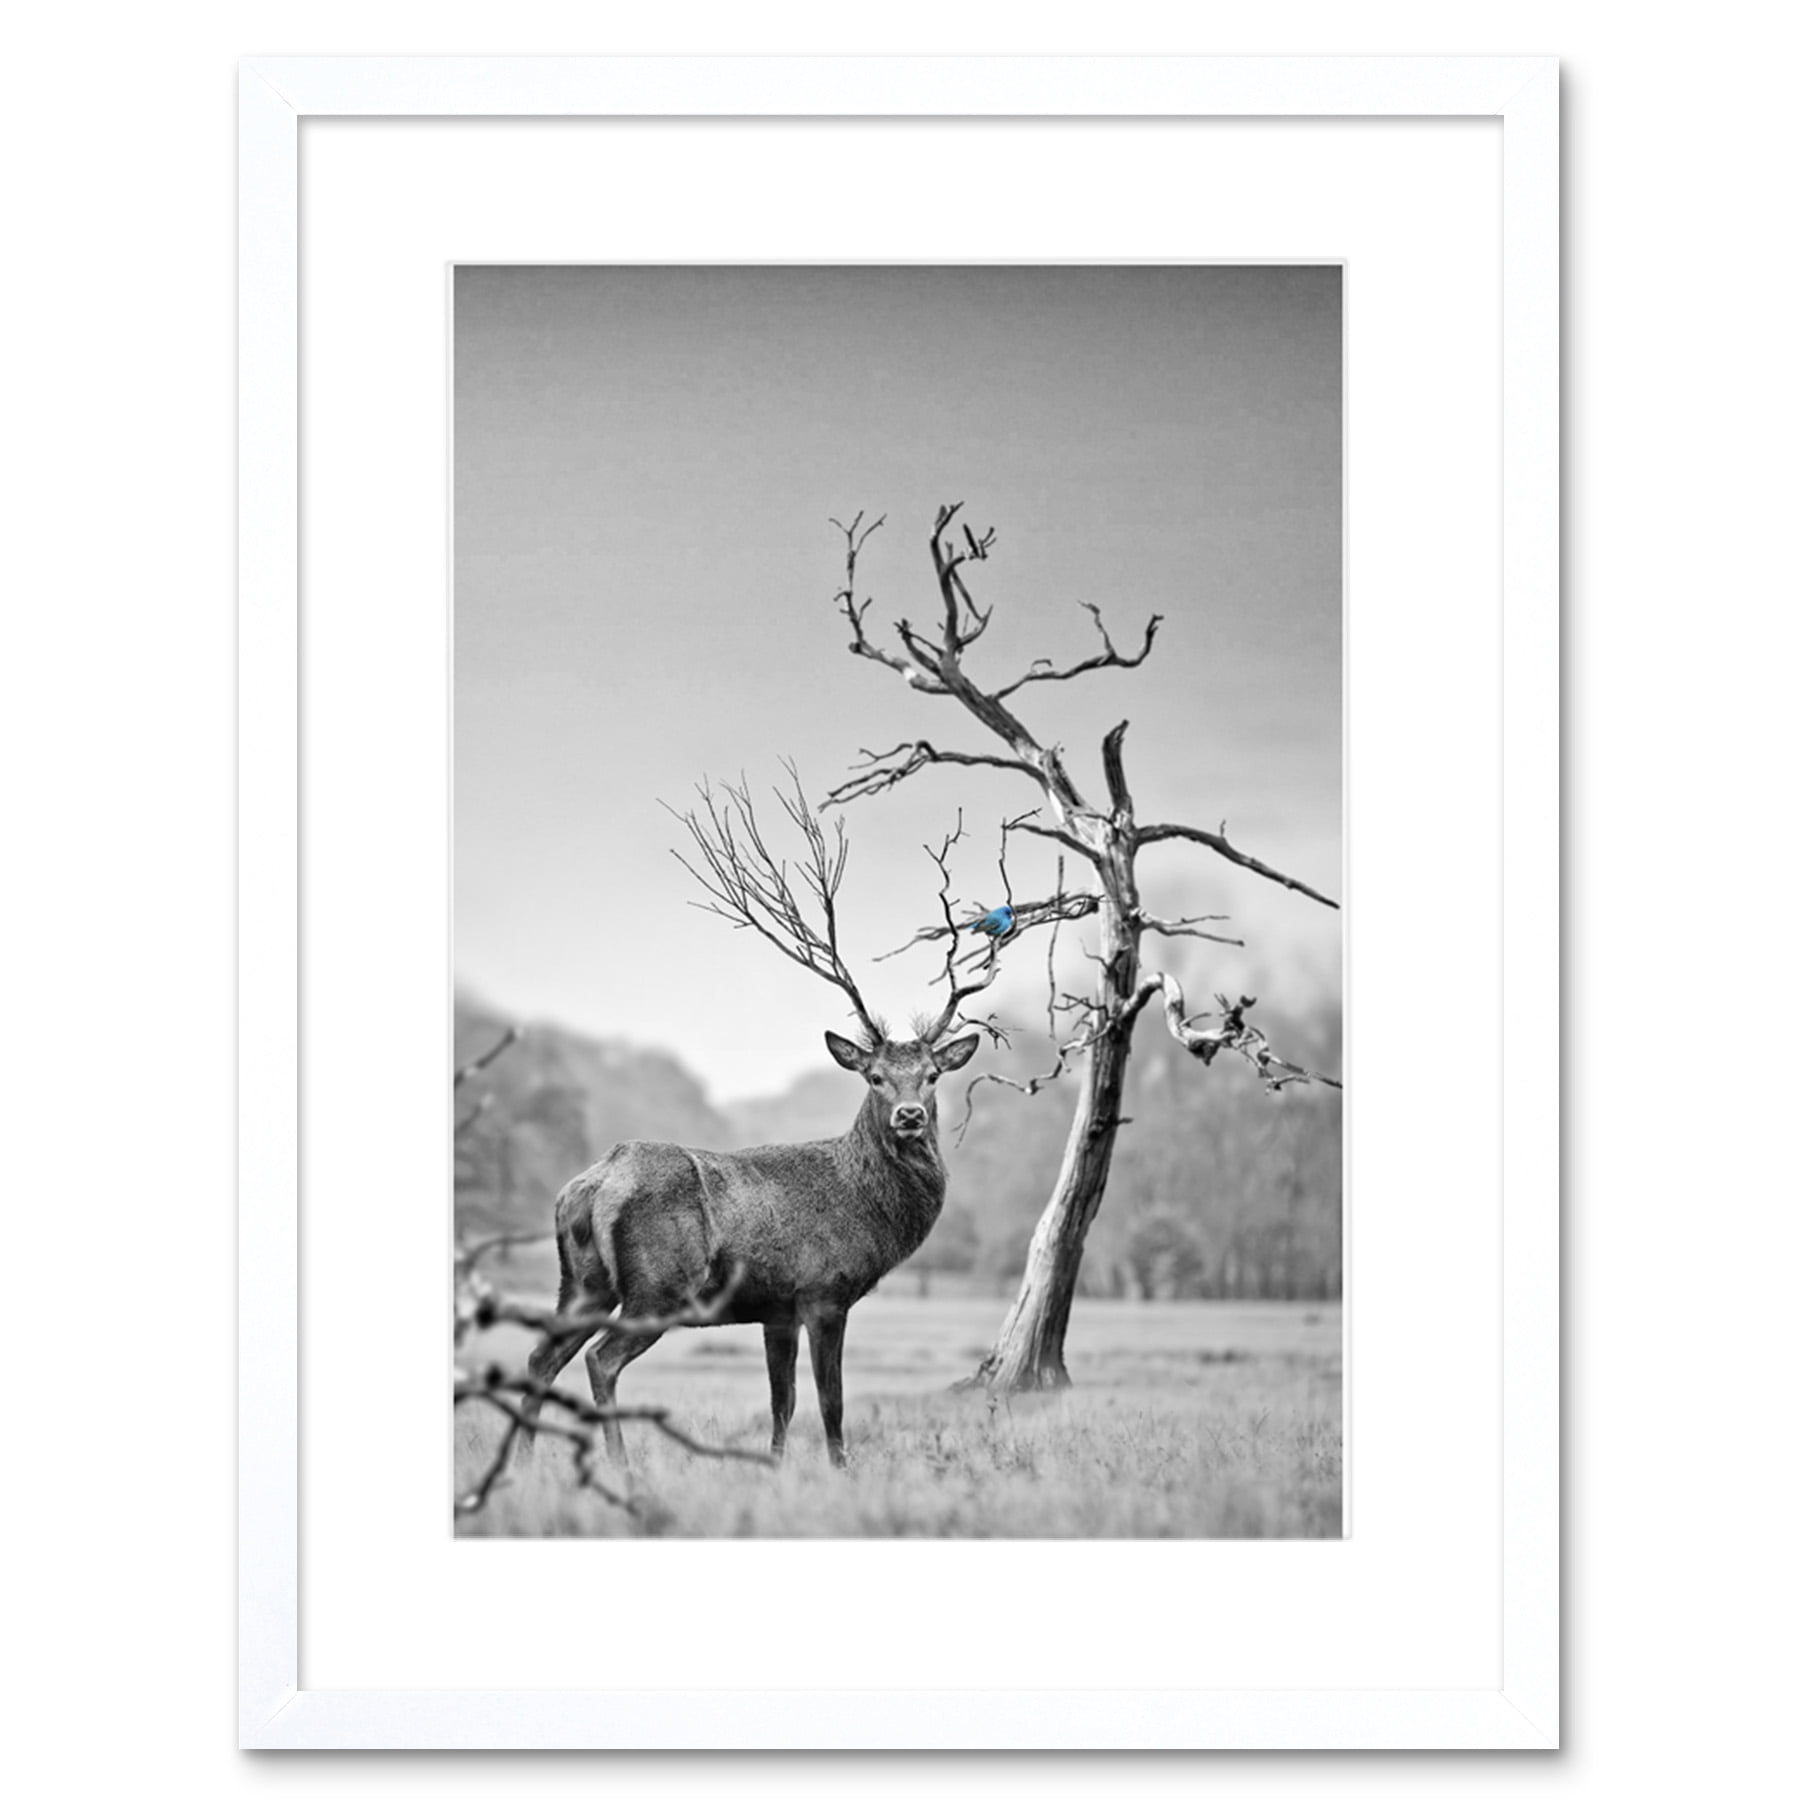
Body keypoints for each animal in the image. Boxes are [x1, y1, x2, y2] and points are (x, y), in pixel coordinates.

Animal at [520, 772, 996, 1469]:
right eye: (874, 1077)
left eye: (933, 1075)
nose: (909, 1116)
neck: (869, 1211)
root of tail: (593, 1183)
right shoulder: (824, 1290)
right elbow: (830, 1401)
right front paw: (841, 1470)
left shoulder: (777, 1309)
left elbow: (783, 1402)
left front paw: (773, 1468)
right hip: (659, 1286)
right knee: (600, 1362)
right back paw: (620, 1463)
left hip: (580, 1280)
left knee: (539, 1356)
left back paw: (524, 1461)